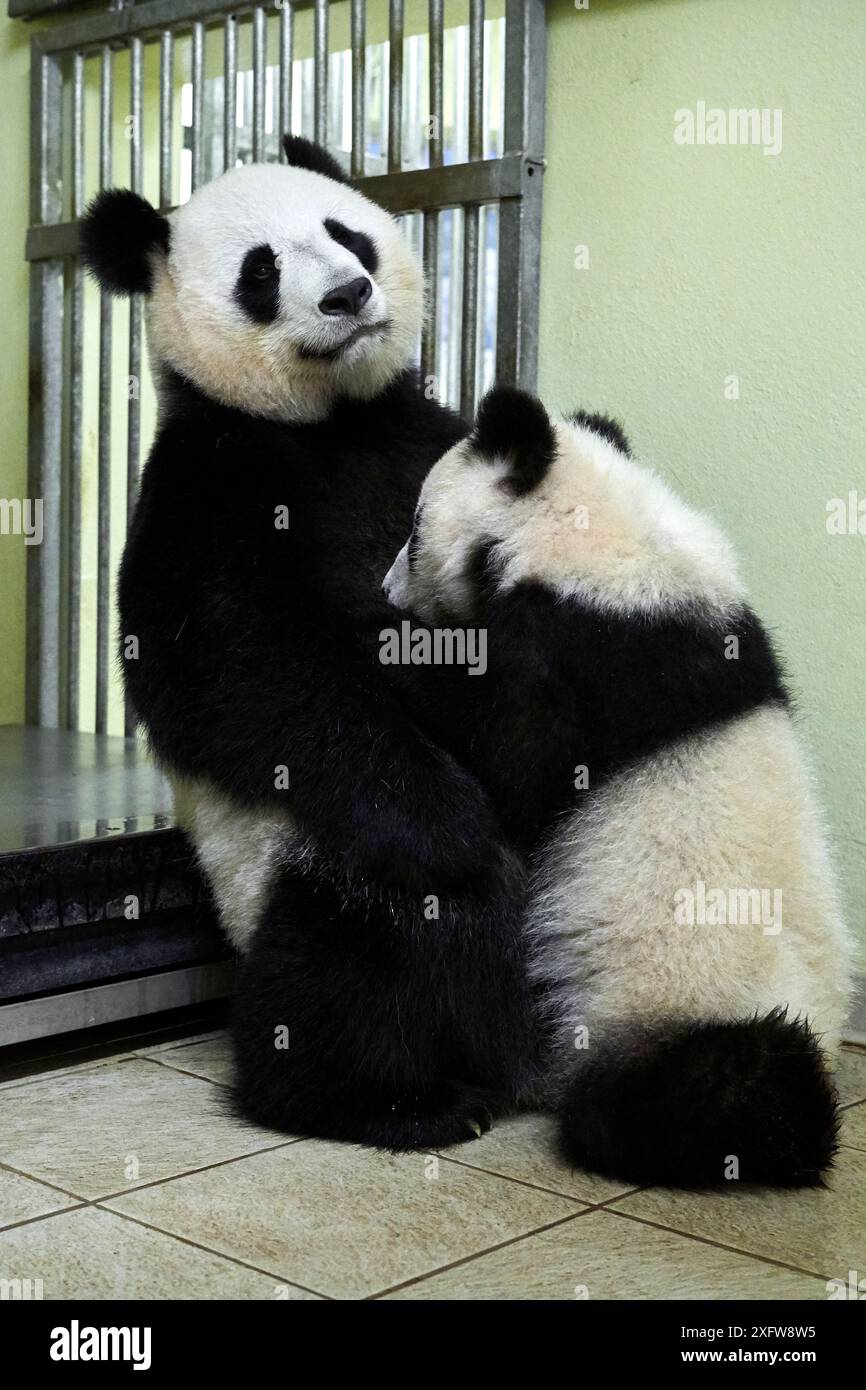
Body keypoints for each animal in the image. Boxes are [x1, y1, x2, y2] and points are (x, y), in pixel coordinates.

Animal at [81, 138, 542, 1150]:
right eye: (260, 273)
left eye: (345, 231)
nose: (348, 293)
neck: (333, 420)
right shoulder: (211, 490)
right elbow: (242, 672)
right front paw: (453, 822)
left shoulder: (429, 442)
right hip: (301, 861)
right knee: (350, 965)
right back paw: (393, 1100)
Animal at [382, 385, 853, 1186]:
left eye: (414, 533)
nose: (388, 589)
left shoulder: (591, 658)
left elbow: (509, 745)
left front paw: (391, 642)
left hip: (678, 999)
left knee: (713, 1088)